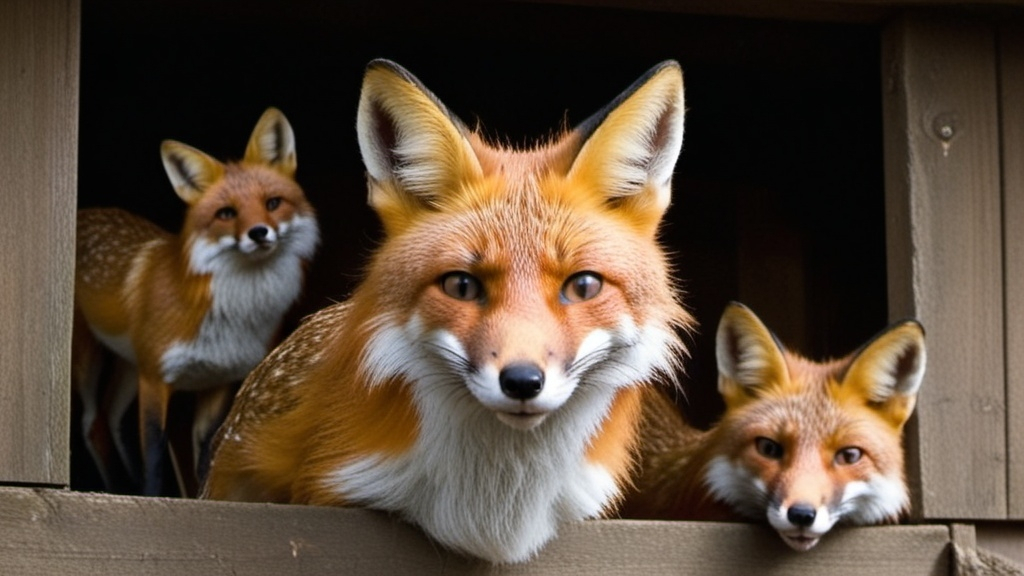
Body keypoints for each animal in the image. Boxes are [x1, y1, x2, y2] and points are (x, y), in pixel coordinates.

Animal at [72, 107, 320, 496]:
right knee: (91, 422)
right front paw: (152, 497)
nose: (259, 233)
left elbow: (206, 456)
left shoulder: (219, 380)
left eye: (273, 204)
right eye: (227, 214)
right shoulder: (156, 377)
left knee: (110, 419)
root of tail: (85, 211)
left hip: (128, 366)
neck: (230, 316)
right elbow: (155, 455)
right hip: (87, 361)